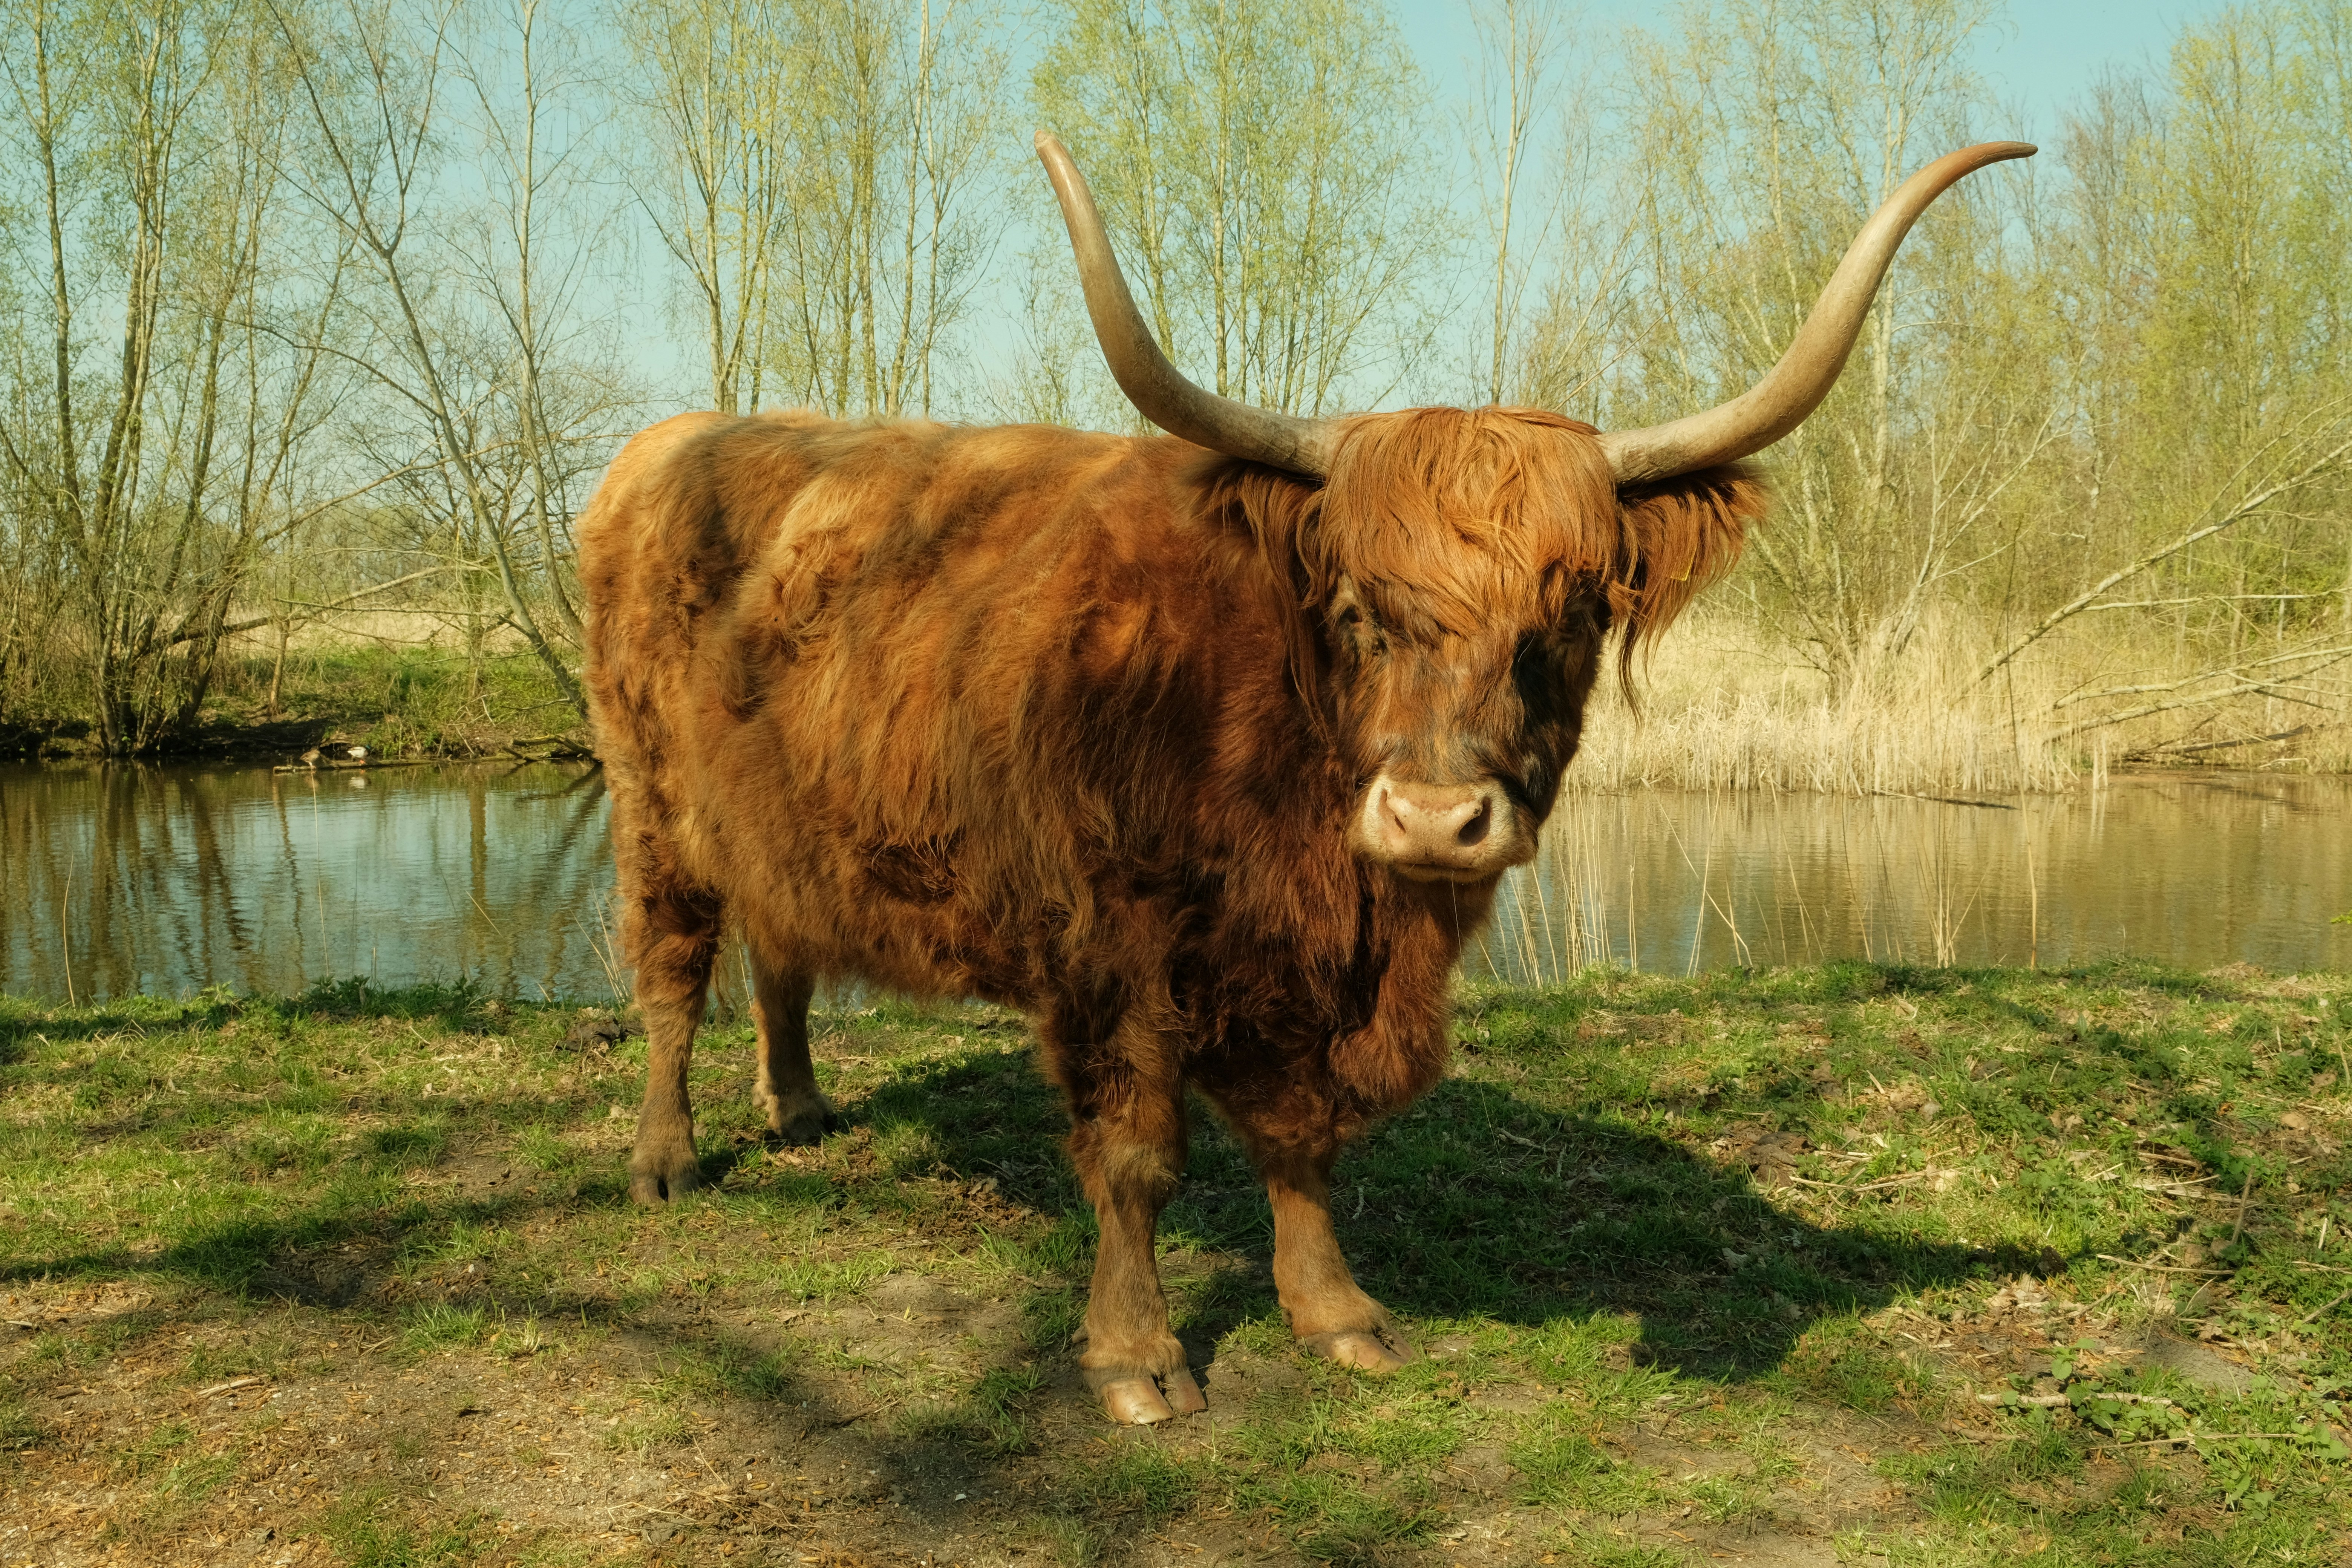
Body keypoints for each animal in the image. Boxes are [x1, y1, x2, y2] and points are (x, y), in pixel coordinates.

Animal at [579, 132, 2032, 1425]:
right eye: (1356, 613)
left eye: (1567, 617)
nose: (1438, 819)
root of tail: (676, 441)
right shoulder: (1110, 949)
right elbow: (1134, 1157)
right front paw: (1136, 1359)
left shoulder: (1311, 974)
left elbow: (1301, 1136)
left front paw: (1336, 1315)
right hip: (653, 803)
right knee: (673, 975)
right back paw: (665, 1158)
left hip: (780, 822)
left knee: (779, 949)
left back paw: (801, 1107)